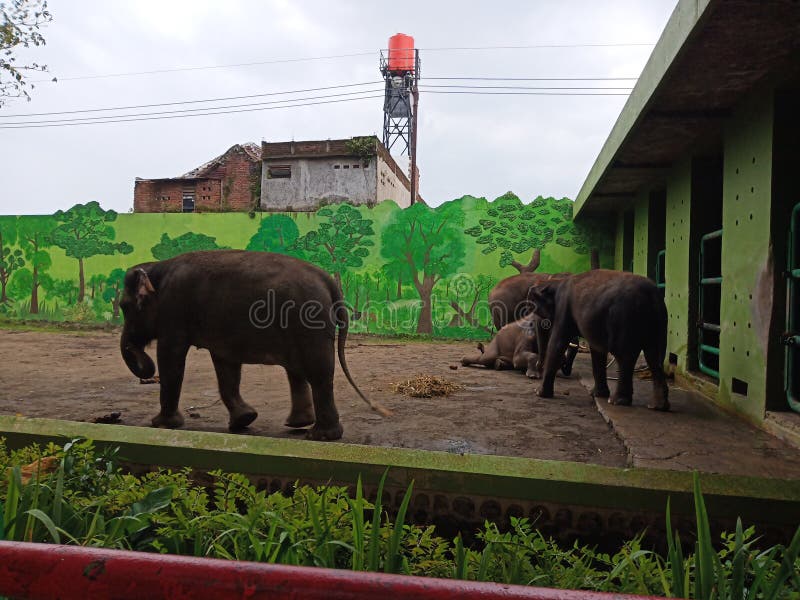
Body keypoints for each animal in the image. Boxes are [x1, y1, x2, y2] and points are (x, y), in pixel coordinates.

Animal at [119, 250, 387, 441]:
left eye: (124, 306)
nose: (145, 367)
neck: (158, 267)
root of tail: (329, 281)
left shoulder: (174, 311)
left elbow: (171, 357)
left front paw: (161, 425)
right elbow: (225, 365)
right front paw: (244, 420)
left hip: (308, 321)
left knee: (318, 372)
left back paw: (320, 436)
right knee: (300, 370)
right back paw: (299, 425)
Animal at [527, 269, 669, 410]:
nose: (538, 369)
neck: (555, 280)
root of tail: (653, 294)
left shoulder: (563, 308)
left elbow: (557, 344)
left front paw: (539, 393)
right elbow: (596, 350)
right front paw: (597, 394)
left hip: (625, 317)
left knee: (625, 356)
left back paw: (616, 401)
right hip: (657, 322)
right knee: (654, 357)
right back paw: (657, 406)